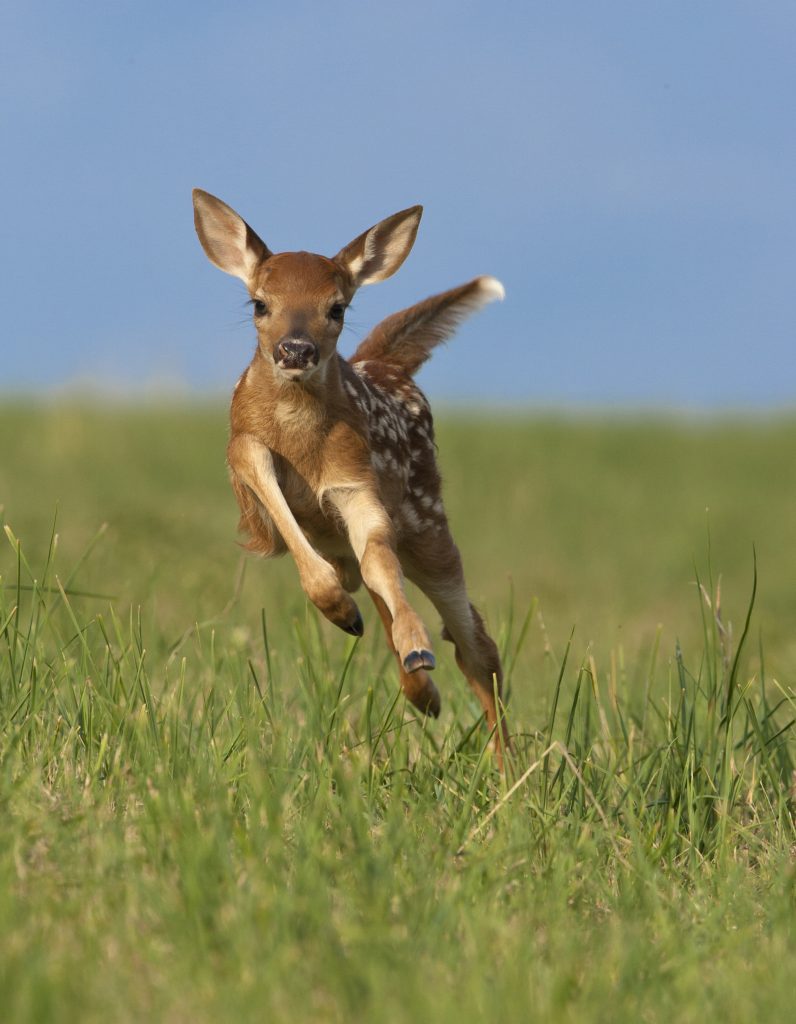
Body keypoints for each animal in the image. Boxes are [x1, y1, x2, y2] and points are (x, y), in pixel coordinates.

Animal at [192, 189, 510, 765]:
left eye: (336, 307)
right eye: (259, 303)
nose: (296, 350)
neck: (302, 440)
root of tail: (386, 364)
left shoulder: (355, 482)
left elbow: (382, 560)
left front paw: (416, 644)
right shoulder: (243, 449)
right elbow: (272, 491)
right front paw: (344, 613)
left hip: (430, 525)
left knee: (476, 647)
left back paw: (503, 764)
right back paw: (421, 690)